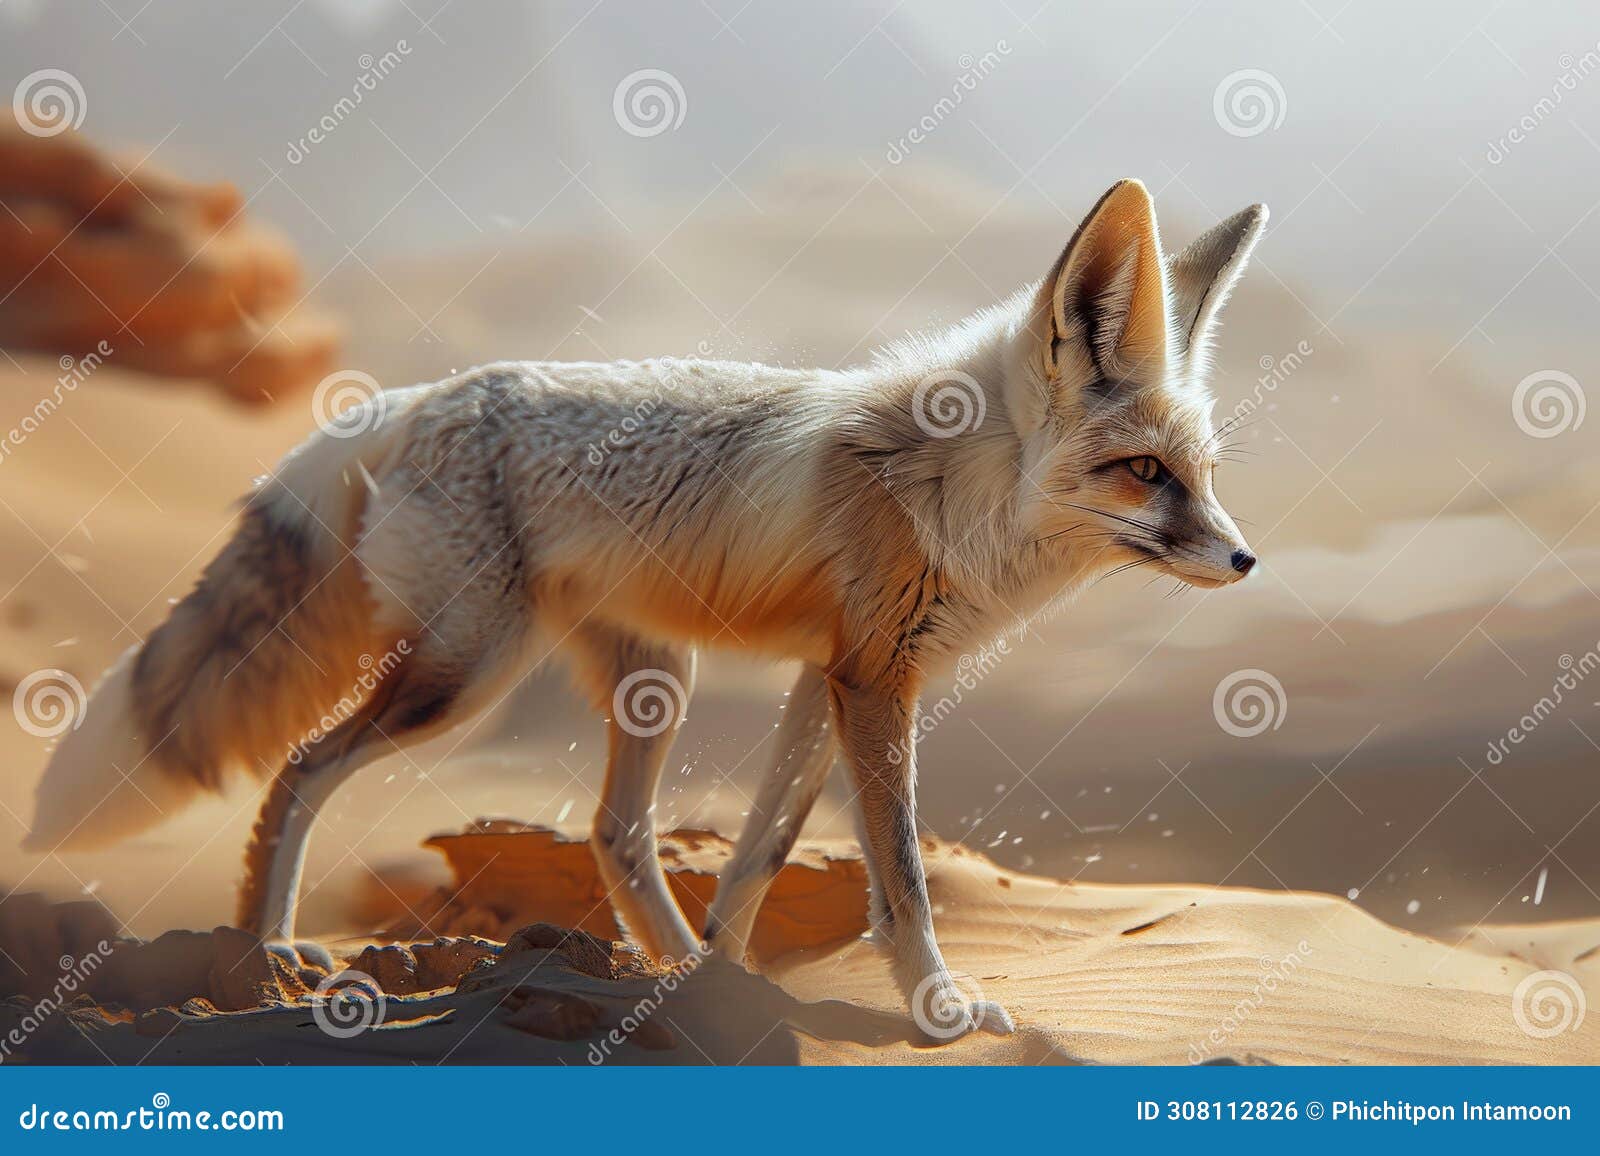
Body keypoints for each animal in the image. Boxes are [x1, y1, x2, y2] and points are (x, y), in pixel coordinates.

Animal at [26, 179, 1266, 1041]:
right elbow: (903, 883)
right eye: (1142, 472)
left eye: (1199, 474)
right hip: (466, 674)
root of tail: (420, 394)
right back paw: (272, 955)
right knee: (298, 771)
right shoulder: (874, 680)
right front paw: (940, 1011)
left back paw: (669, 973)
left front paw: (729, 987)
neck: (948, 488)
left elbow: (760, 855)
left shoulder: (826, 676)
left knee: (614, 833)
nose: (1246, 559)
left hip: (652, 681)